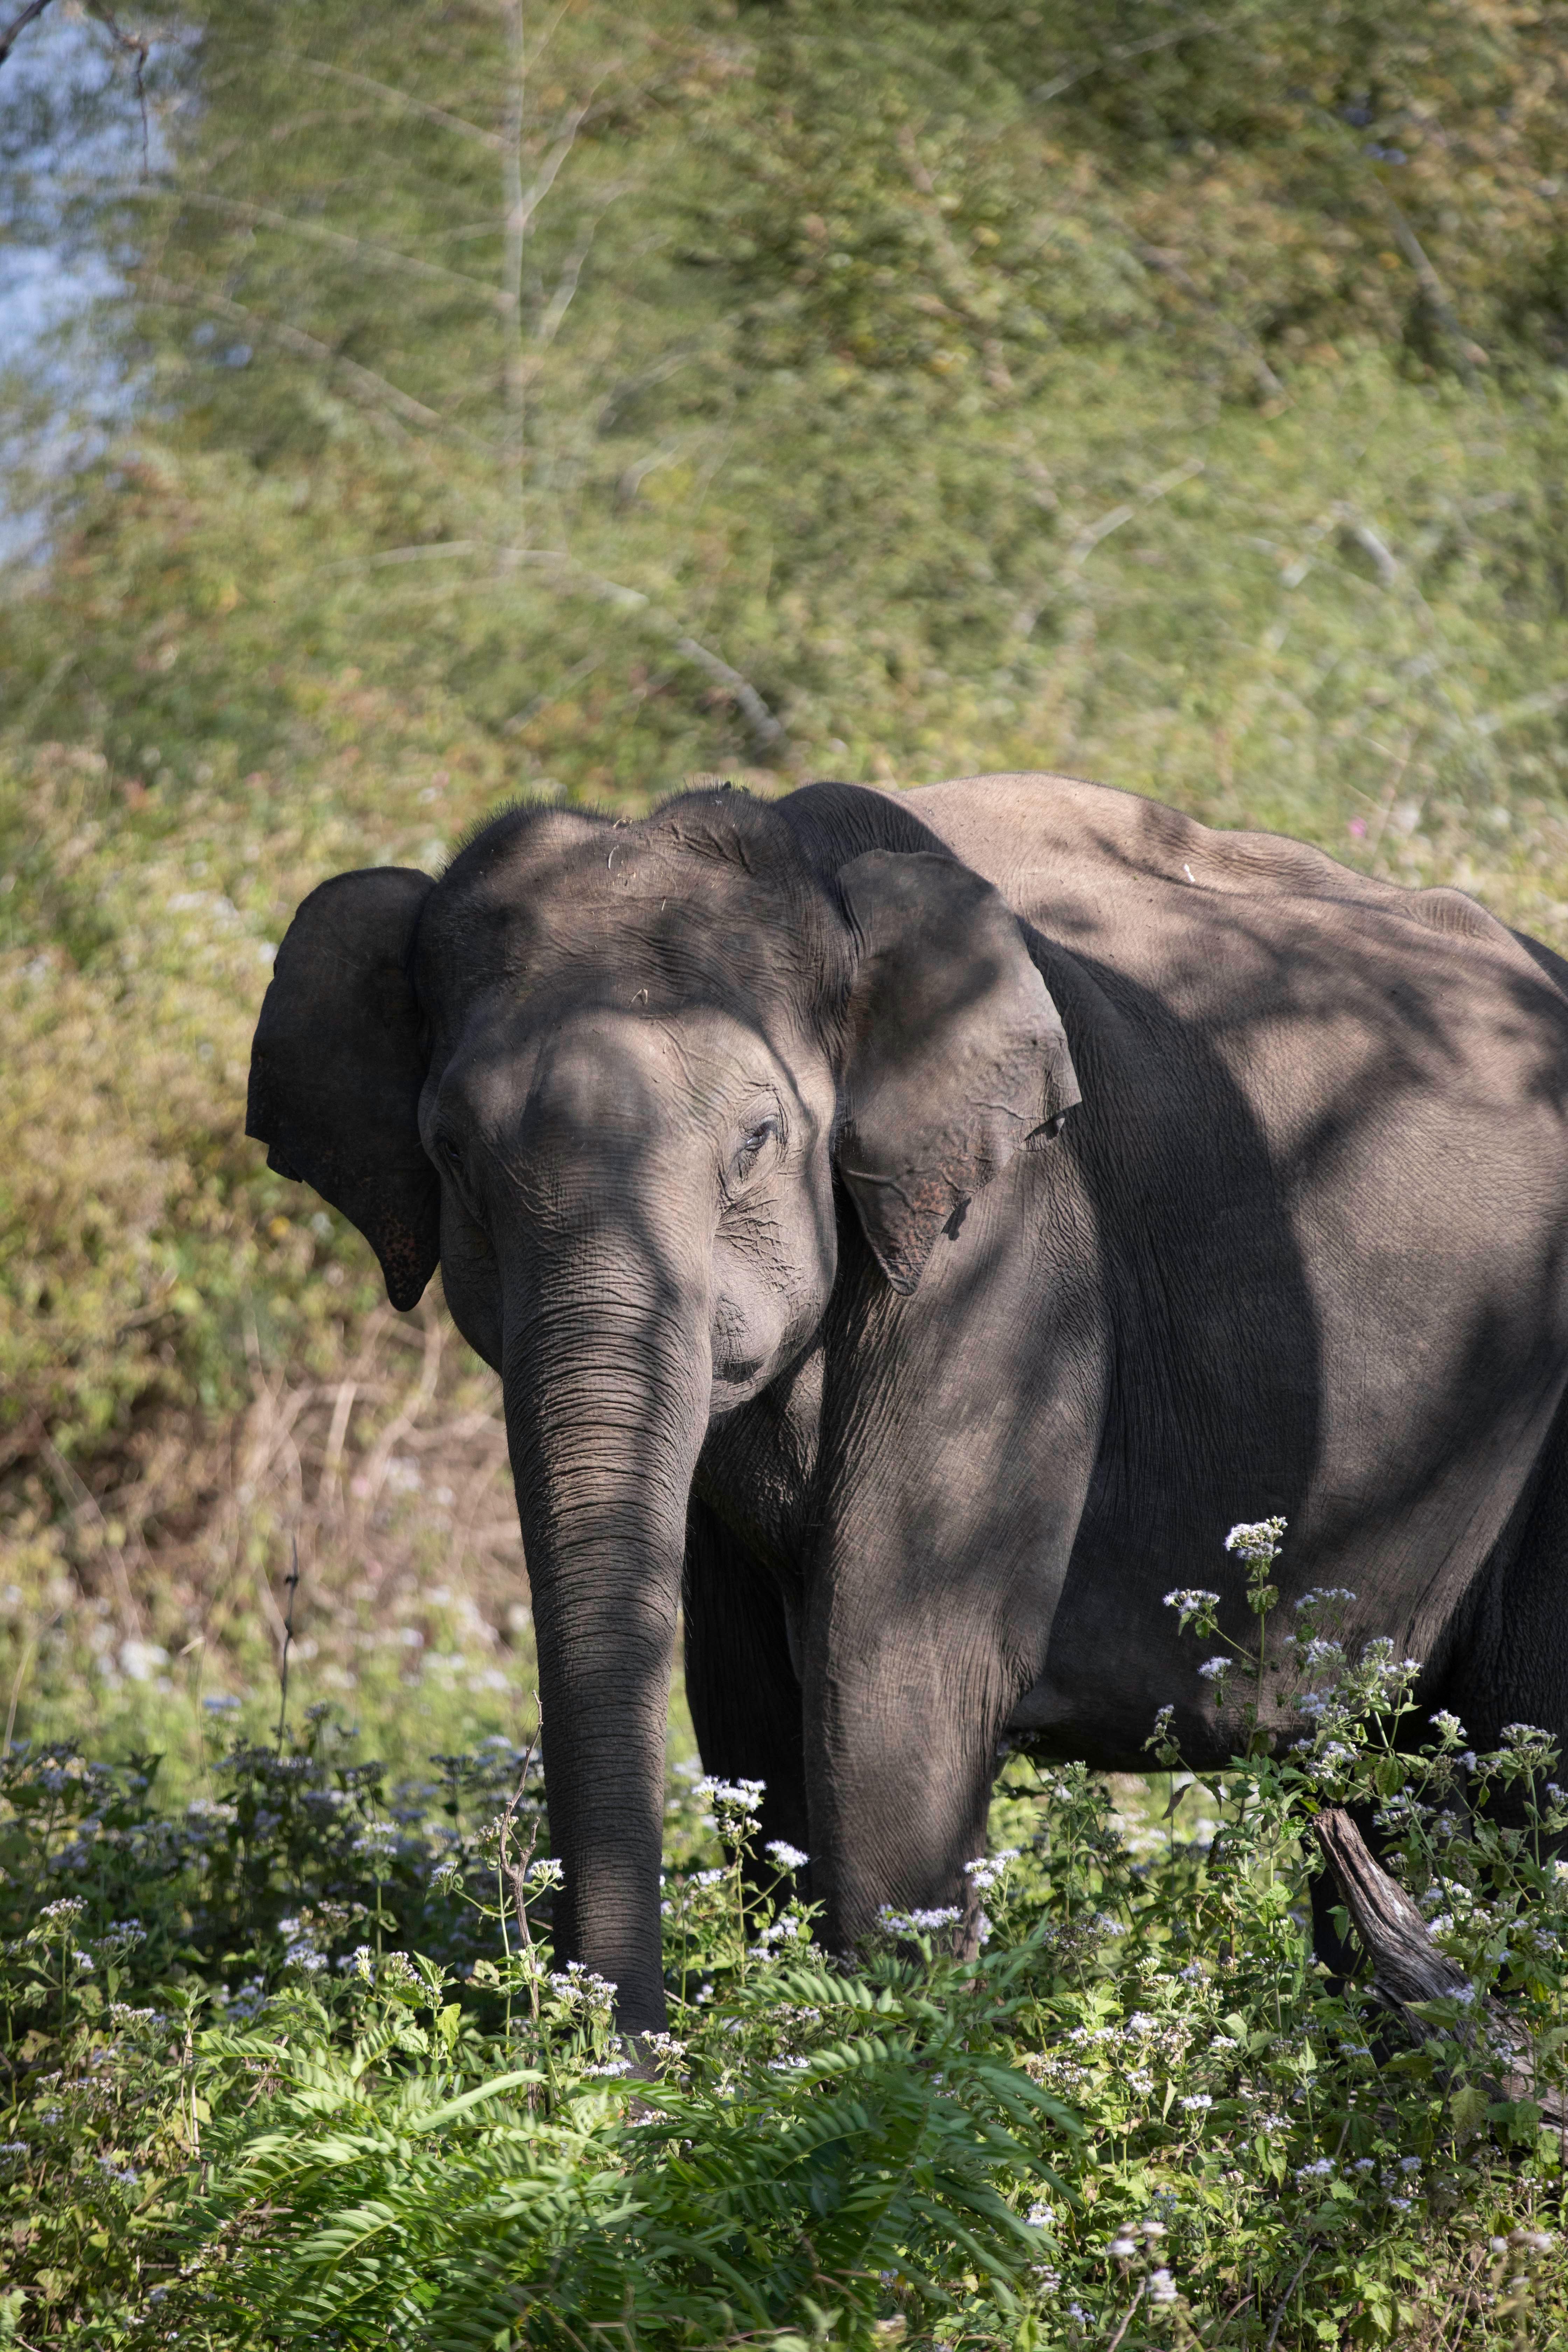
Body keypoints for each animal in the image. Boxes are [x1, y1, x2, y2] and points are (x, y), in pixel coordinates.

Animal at [247, 771, 1568, 2030]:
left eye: (756, 1140)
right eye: (451, 1153)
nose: (611, 2057)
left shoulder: (1012, 1248)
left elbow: (893, 1668)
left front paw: (879, 2051)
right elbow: (743, 1691)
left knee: (1514, 1752)